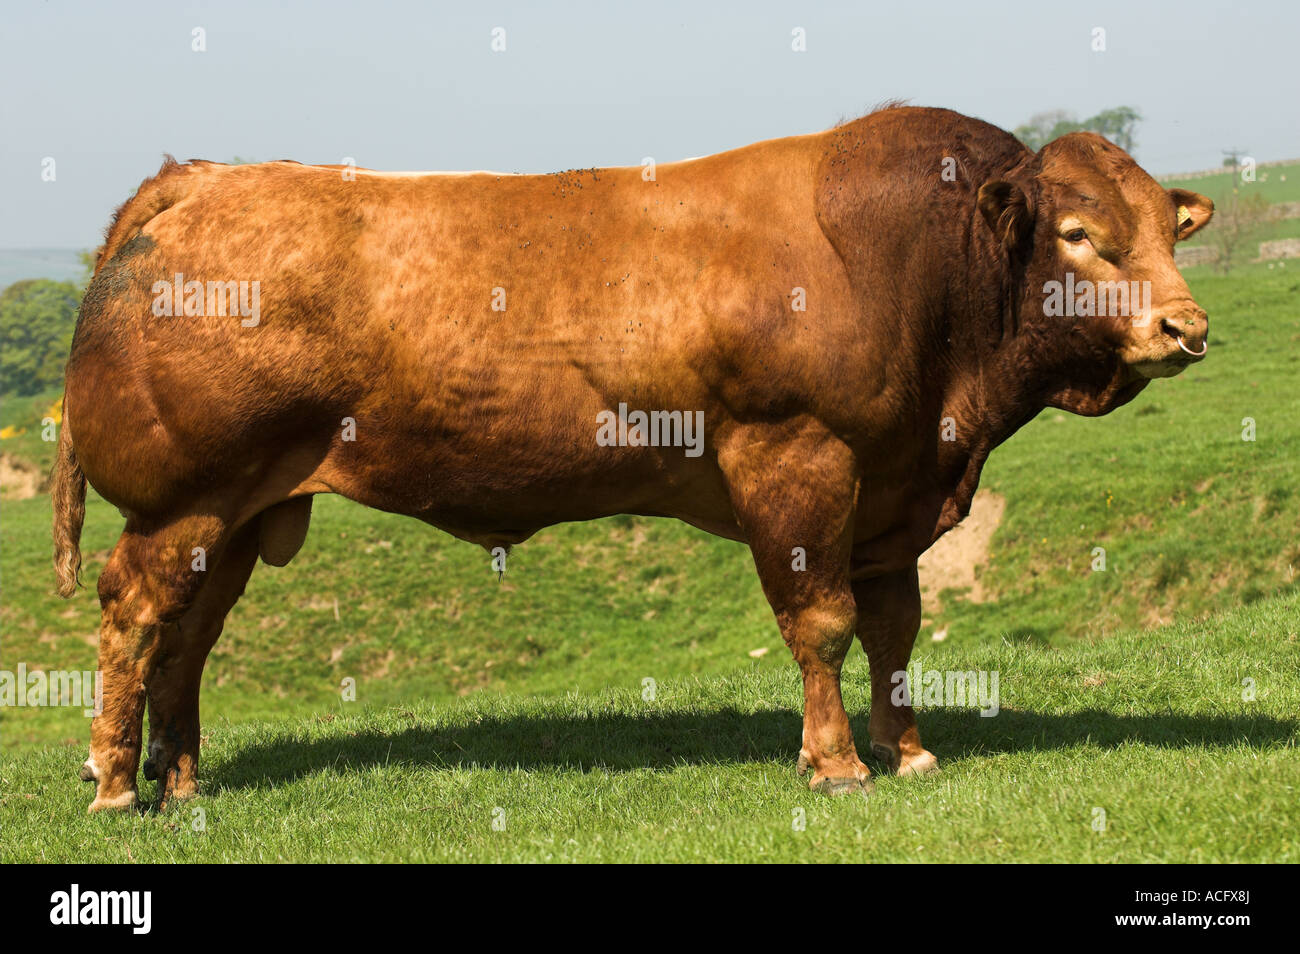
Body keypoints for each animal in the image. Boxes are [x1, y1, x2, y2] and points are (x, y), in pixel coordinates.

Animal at [52, 105, 1213, 812]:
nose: (1186, 327)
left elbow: (894, 628)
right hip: (181, 499)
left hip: (237, 510)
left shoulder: (893, 492)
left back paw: (182, 780)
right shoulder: (796, 464)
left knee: (191, 636)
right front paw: (836, 765)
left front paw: (911, 748)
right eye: (1077, 233)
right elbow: (824, 624)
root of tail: (201, 179)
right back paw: (115, 784)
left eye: (1169, 228)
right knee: (134, 616)